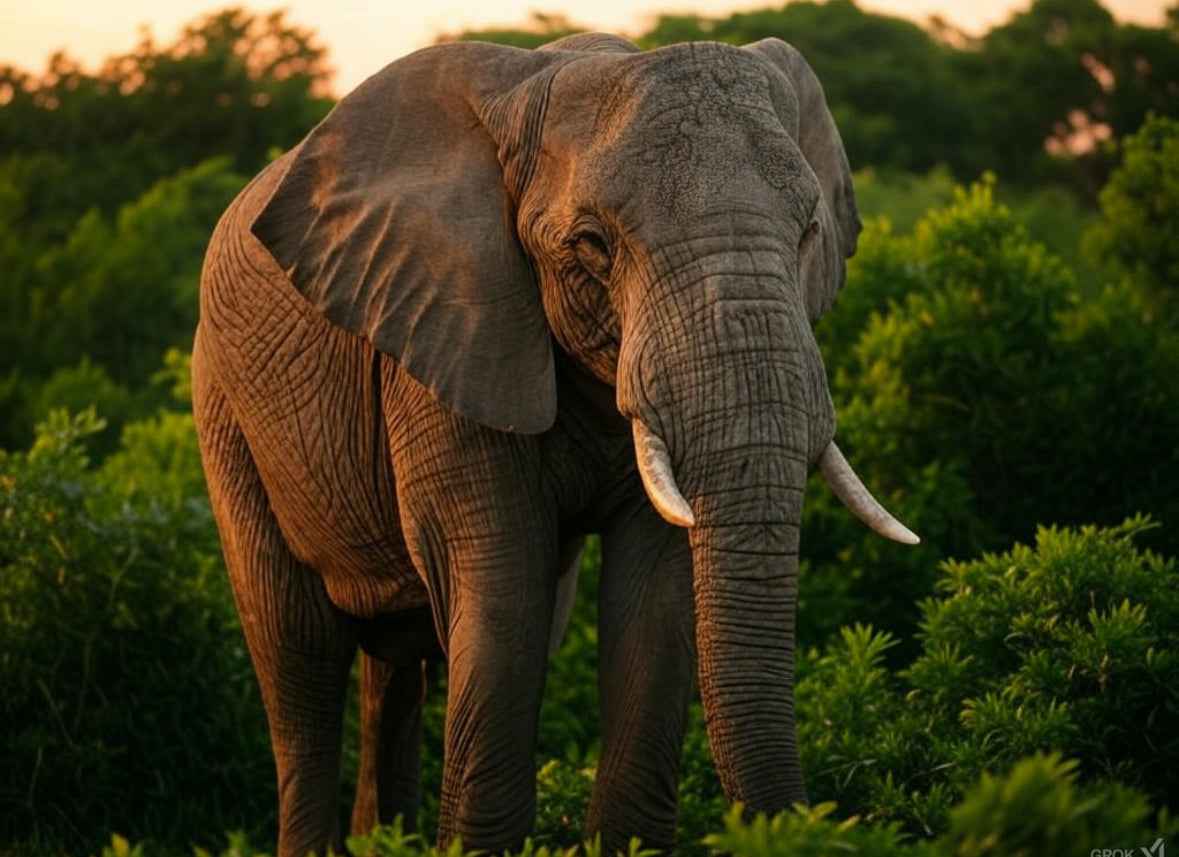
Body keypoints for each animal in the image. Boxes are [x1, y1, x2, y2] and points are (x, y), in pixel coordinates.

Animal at [192, 30, 919, 857]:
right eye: (591, 245)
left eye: (808, 233)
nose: (801, 823)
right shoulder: (449, 326)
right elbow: (502, 592)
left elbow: (653, 595)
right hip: (225, 410)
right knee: (299, 656)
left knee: (396, 670)